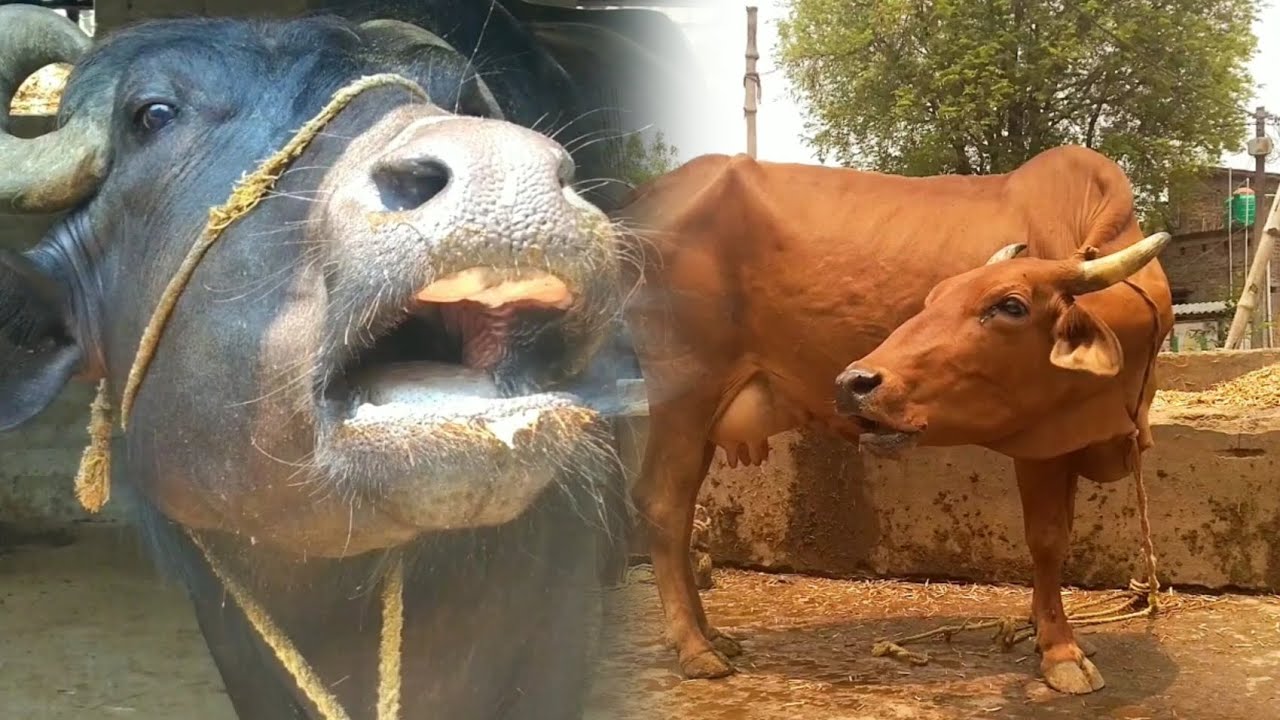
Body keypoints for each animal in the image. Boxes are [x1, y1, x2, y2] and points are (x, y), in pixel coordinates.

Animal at [613, 146, 1173, 695]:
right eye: (933, 299)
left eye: (1011, 305)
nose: (854, 382)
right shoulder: (1041, 441)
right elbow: (1049, 541)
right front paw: (1060, 651)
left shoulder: (1073, 441)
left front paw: (1048, 633)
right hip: (684, 390)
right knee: (663, 503)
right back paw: (695, 647)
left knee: (682, 508)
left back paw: (711, 634)